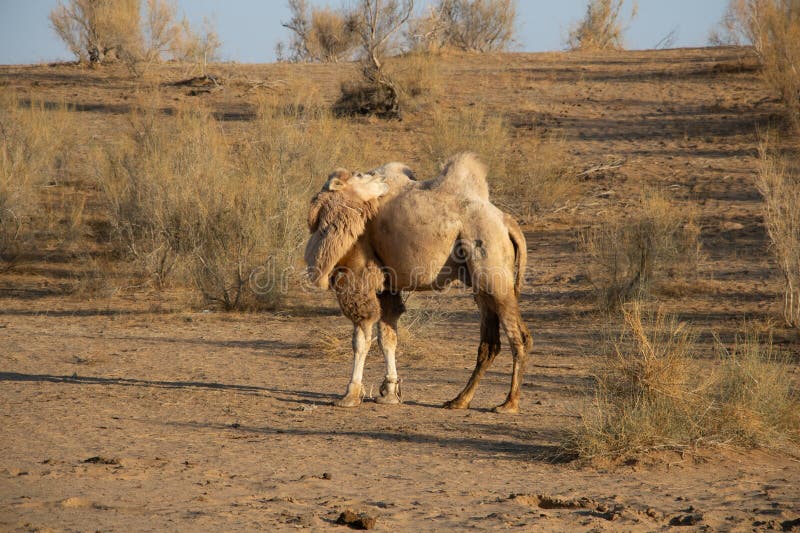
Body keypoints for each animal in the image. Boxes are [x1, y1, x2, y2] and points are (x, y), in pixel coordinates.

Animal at [305, 153, 532, 413]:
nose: (379, 179)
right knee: (490, 343)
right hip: (482, 283)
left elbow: (361, 338)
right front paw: (389, 393)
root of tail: (506, 222)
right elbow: (387, 337)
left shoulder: (358, 273)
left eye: (360, 174)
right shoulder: (386, 284)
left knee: (519, 337)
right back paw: (458, 400)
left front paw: (349, 395)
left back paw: (508, 403)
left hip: (492, 267)